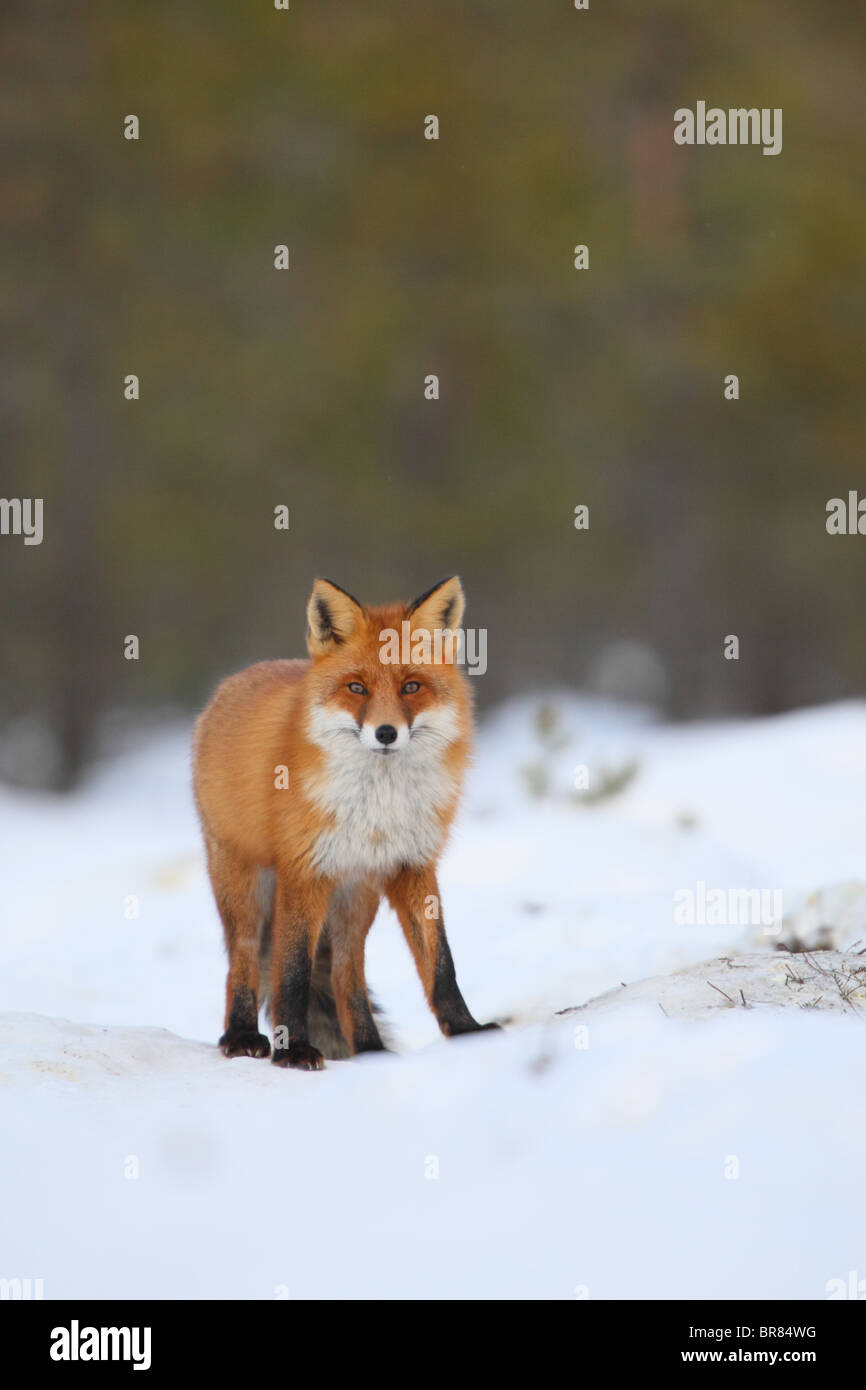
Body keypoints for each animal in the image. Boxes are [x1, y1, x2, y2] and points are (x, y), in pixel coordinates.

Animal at [192, 575, 498, 1070]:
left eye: (411, 686)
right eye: (357, 688)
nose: (386, 733)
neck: (379, 805)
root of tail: (231, 683)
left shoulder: (413, 864)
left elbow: (441, 963)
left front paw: (466, 1030)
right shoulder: (304, 871)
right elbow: (292, 974)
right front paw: (293, 1050)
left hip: (357, 895)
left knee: (345, 971)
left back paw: (370, 1048)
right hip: (244, 884)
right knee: (244, 959)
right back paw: (241, 1036)